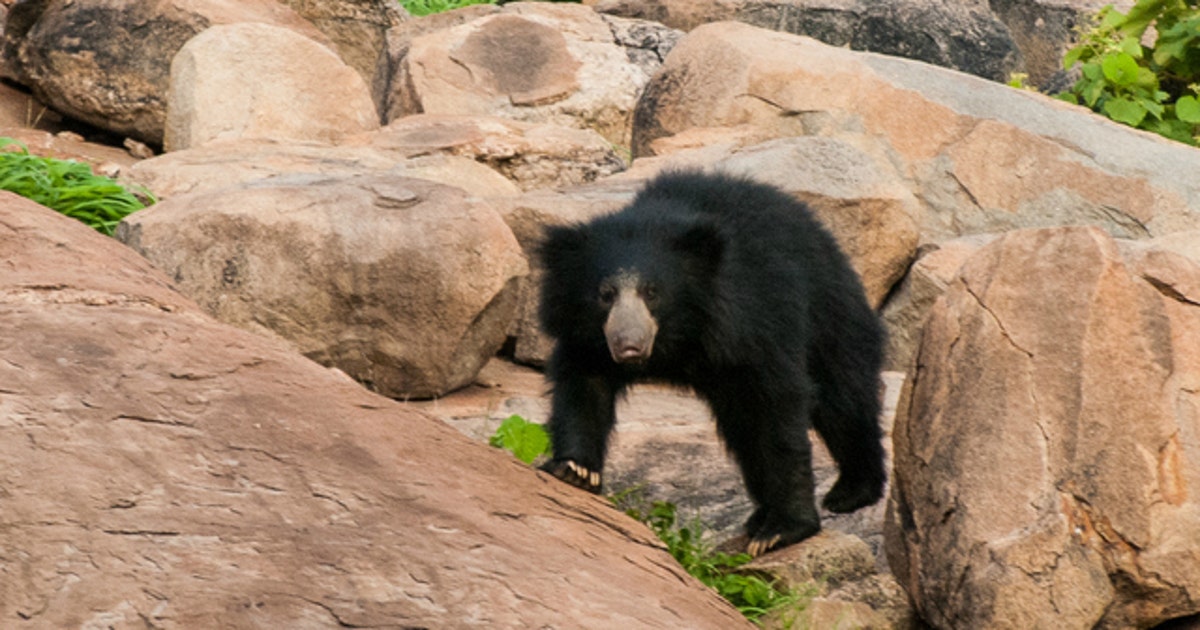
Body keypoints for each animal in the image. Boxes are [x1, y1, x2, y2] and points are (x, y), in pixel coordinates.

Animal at [536, 170, 887, 557]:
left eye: (652, 292)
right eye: (605, 294)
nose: (628, 346)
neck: (679, 335)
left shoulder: (751, 320)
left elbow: (775, 410)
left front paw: (781, 531)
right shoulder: (586, 338)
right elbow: (583, 390)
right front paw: (576, 470)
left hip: (830, 310)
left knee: (843, 399)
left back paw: (851, 492)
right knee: (744, 432)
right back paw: (760, 514)